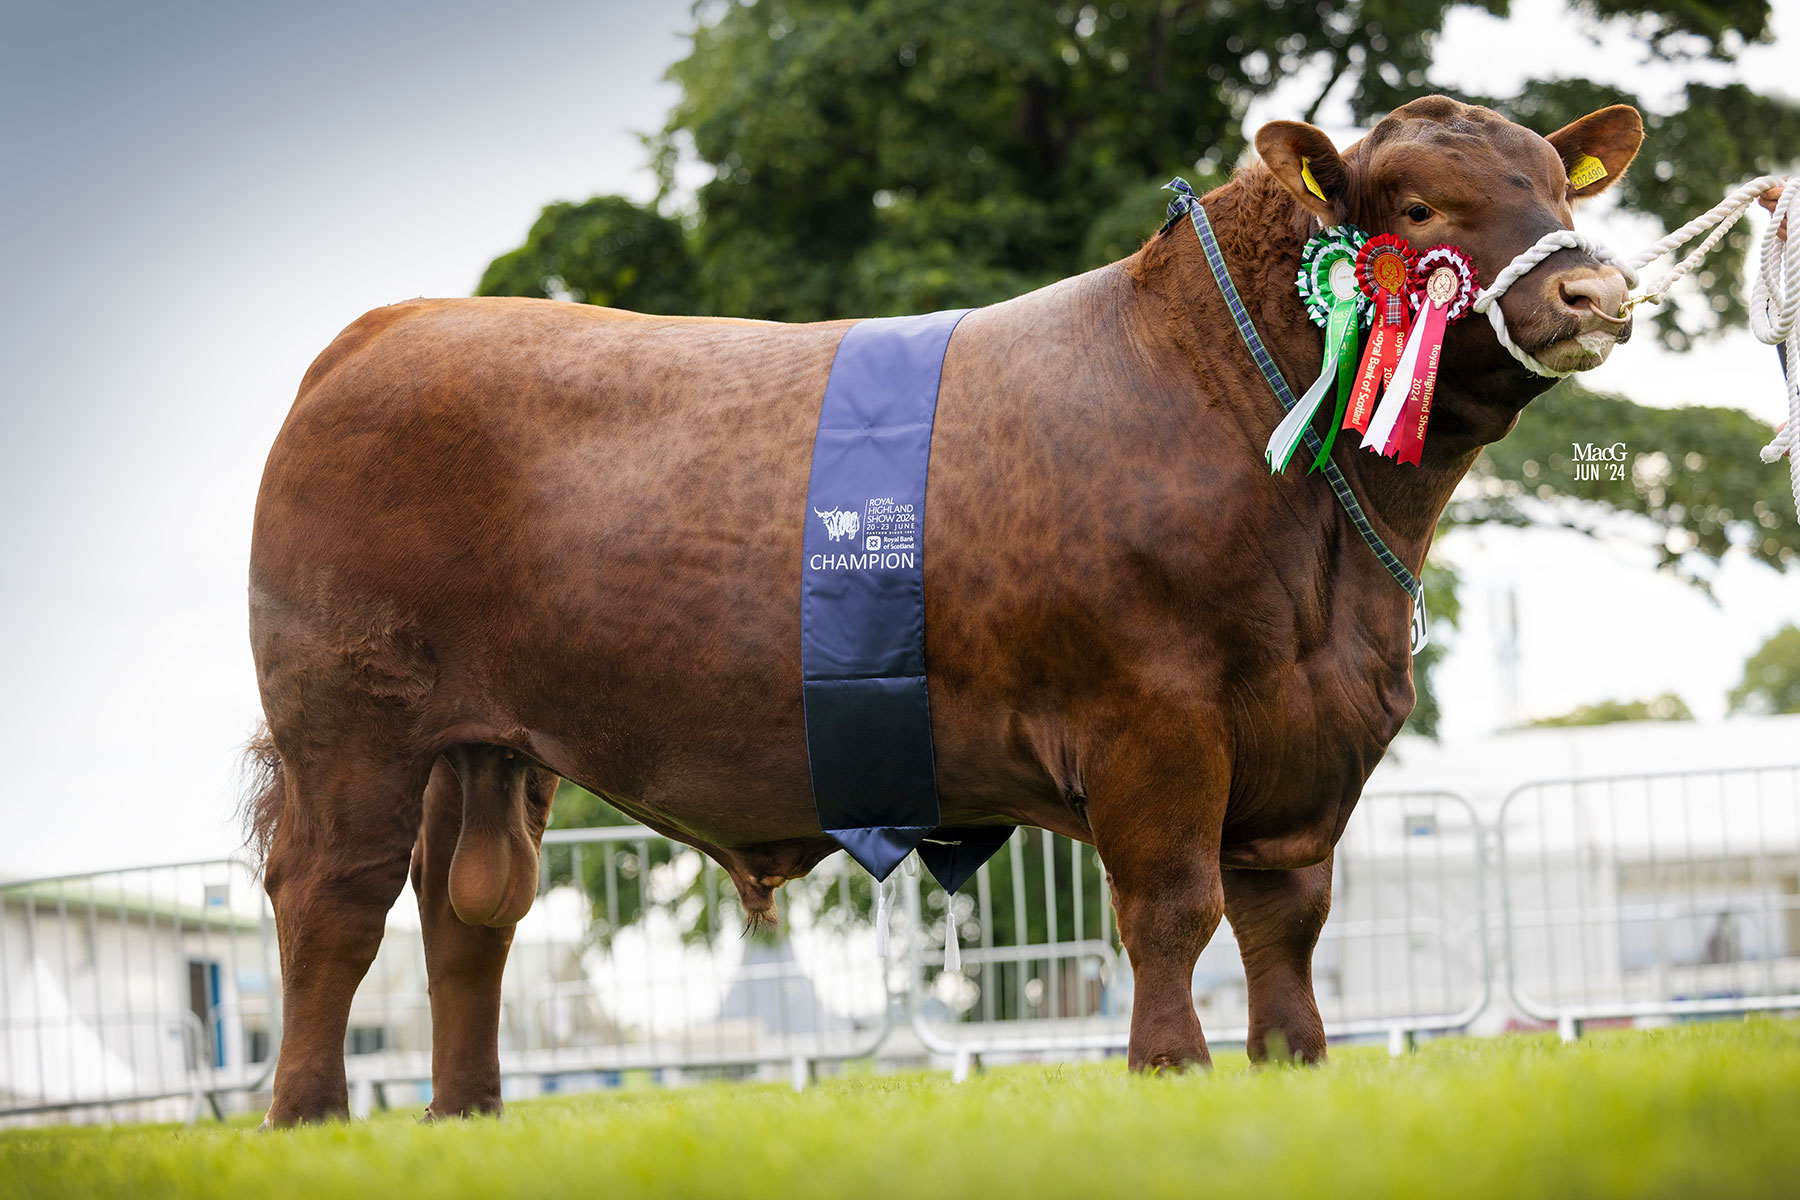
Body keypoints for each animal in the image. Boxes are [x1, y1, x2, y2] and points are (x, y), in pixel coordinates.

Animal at [243, 95, 1643, 1125]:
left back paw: (467, 1116)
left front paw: (1294, 1066)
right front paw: (1170, 1070)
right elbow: (1173, 906)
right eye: (1418, 206)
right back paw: (310, 1117)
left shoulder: (1304, 733)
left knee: (470, 909)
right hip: (349, 720)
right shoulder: (1157, 717)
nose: (1594, 292)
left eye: (1561, 187)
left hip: (488, 744)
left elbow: (1285, 919)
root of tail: (388, 328)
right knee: (332, 901)